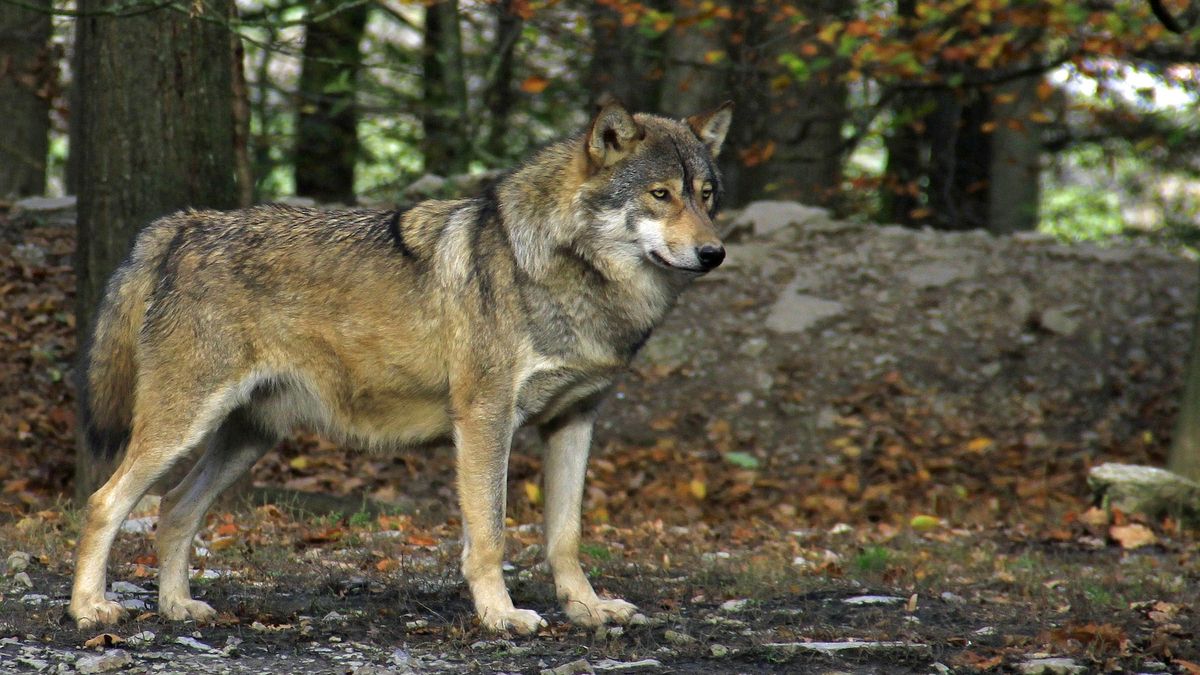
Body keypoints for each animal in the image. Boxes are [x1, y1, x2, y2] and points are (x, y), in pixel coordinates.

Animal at [70, 100, 732, 634]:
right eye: (660, 194)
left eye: (705, 195)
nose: (714, 253)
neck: (565, 273)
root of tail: (185, 224)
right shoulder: (486, 420)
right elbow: (490, 536)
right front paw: (501, 616)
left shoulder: (573, 422)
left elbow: (565, 538)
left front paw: (588, 609)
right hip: (183, 428)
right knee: (105, 501)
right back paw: (89, 609)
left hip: (247, 438)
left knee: (174, 507)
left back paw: (176, 607)